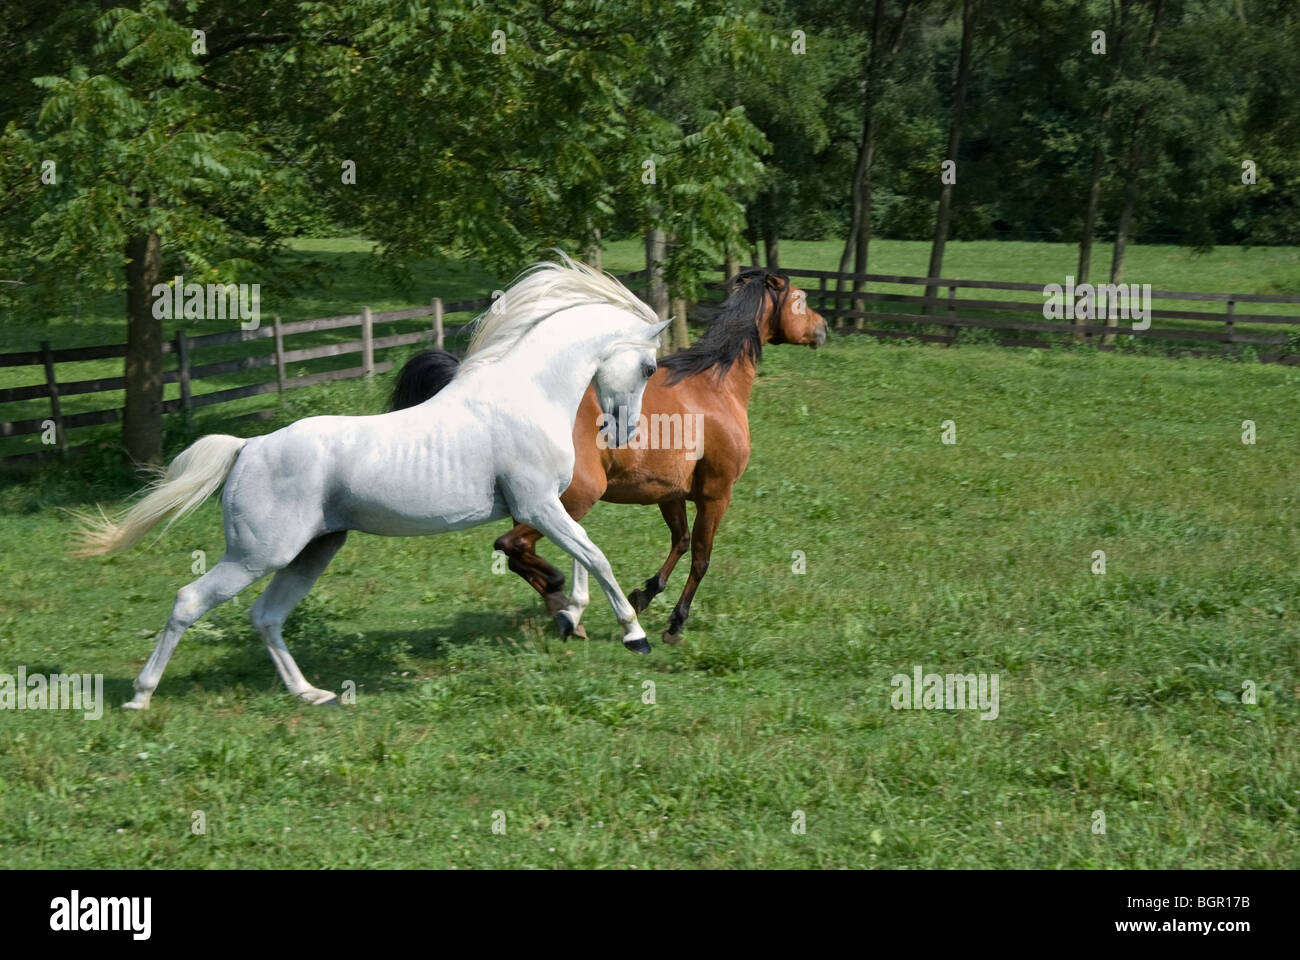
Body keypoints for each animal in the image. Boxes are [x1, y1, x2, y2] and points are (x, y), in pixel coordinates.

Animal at [75, 255, 671, 709]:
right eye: (647, 368)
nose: (623, 431)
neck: (522, 395)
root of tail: (248, 448)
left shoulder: (551, 506)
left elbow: (584, 555)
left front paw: (572, 616)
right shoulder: (539, 505)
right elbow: (596, 556)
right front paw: (634, 635)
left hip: (311, 552)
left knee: (265, 616)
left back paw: (312, 694)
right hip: (258, 554)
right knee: (189, 601)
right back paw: (140, 697)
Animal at [390, 268, 827, 645]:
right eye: (801, 299)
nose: (823, 329)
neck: (712, 386)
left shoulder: (669, 493)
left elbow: (681, 541)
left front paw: (643, 595)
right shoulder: (716, 494)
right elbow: (701, 557)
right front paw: (675, 622)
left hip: (545, 504)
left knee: (519, 551)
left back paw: (566, 608)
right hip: (570, 499)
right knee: (512, 545)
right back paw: (564, 601)